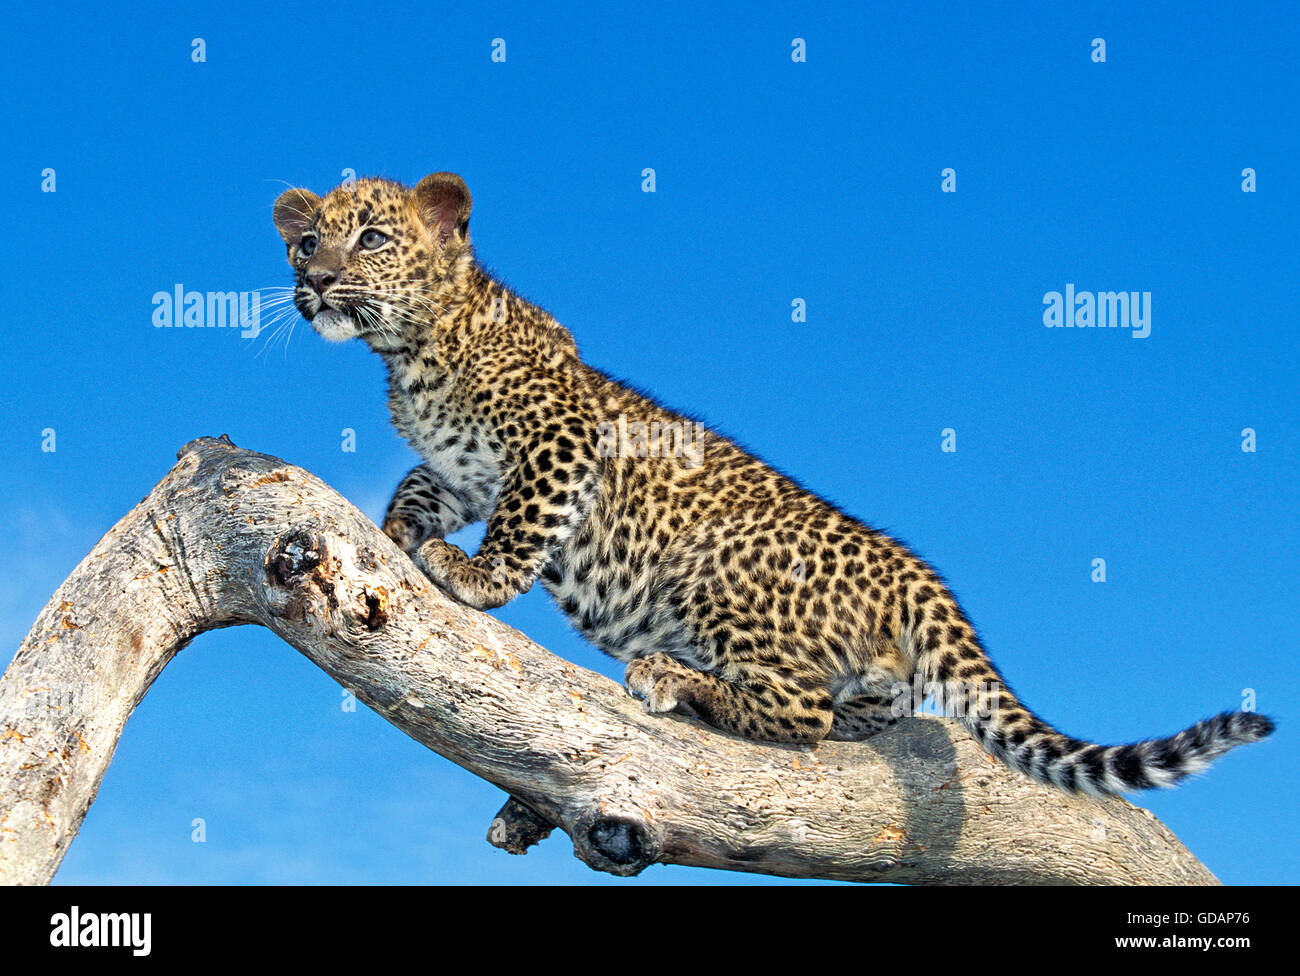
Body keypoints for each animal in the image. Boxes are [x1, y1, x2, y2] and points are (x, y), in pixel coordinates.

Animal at [272, 171, 1274, 796]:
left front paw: (473, 576)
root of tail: (916, 575)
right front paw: (402, 532)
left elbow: (521, 525)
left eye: (370, 238)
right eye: (306, 243)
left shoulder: (560, 440)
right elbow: (421, 484)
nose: (312, 281)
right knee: (860, 711)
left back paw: (674, 678)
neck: (409, 351)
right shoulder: (464, 467)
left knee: (798, 712)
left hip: (715, 569)